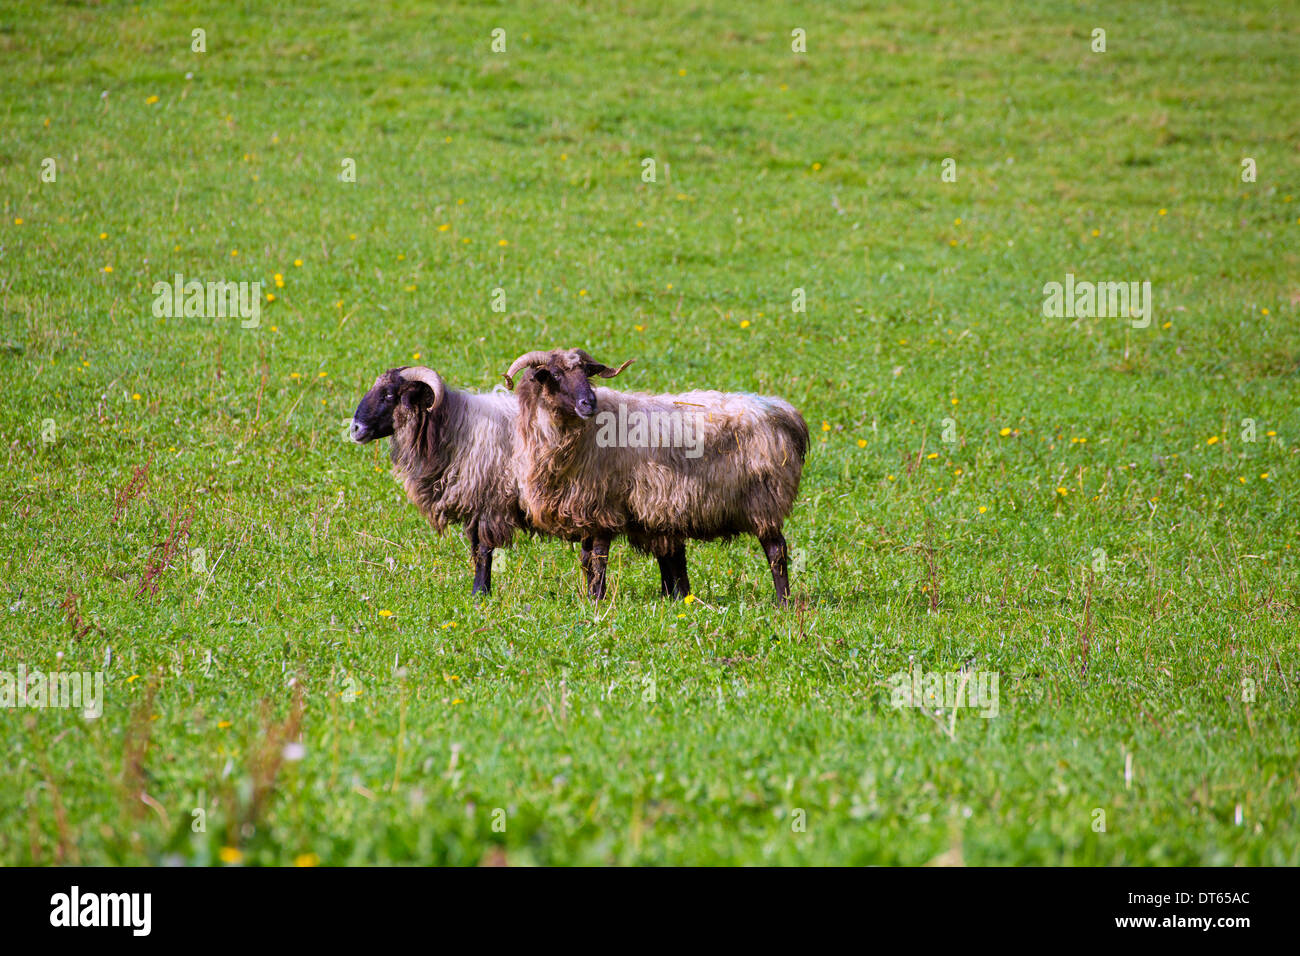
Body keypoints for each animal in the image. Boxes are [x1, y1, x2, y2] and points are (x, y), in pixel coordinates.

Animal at [350, 366, 525, 595]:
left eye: (389, 395)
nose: (354, 429)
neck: (458, 429)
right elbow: (476, 550)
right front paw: (479, 593)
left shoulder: (489, 503)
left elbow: (484, 552)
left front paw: (480, 594)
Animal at [502, 348, 809, 605]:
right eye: (555, 375)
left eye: (587, 373)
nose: (589, 402)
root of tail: (785, 413)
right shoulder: (587, 510)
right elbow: (587, 559)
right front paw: (590, 598)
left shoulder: (604, 507)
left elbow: (598, 558)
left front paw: (597, 601)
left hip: (765, 499)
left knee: (777, 550)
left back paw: (783, 602)